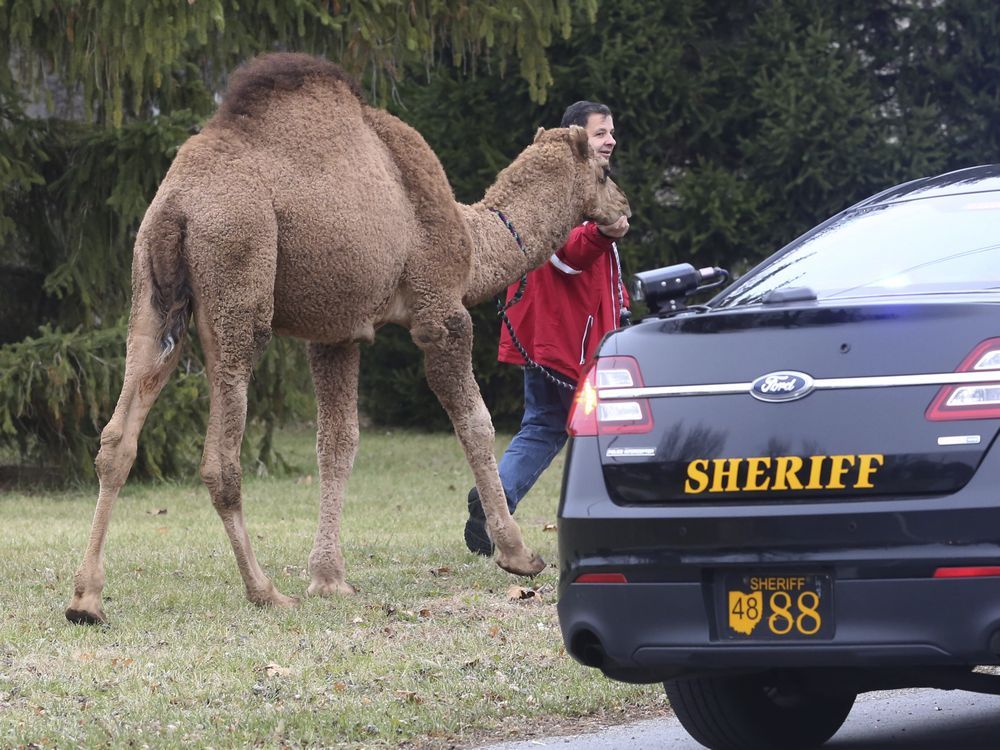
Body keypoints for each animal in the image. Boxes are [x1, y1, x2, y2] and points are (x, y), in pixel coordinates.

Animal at [65, 52, 630, 625]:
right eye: (605, 167)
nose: (624, 208)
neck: (475, 245)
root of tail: (177, 205)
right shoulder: (440, 311)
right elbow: (475, 422)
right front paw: (518, 555)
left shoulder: (335, 332)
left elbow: (337, 444)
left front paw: (328, 578)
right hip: (237, 278)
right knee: (220, 458)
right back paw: (263, 590)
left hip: (149, 296)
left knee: (116, 440)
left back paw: (86, 599)